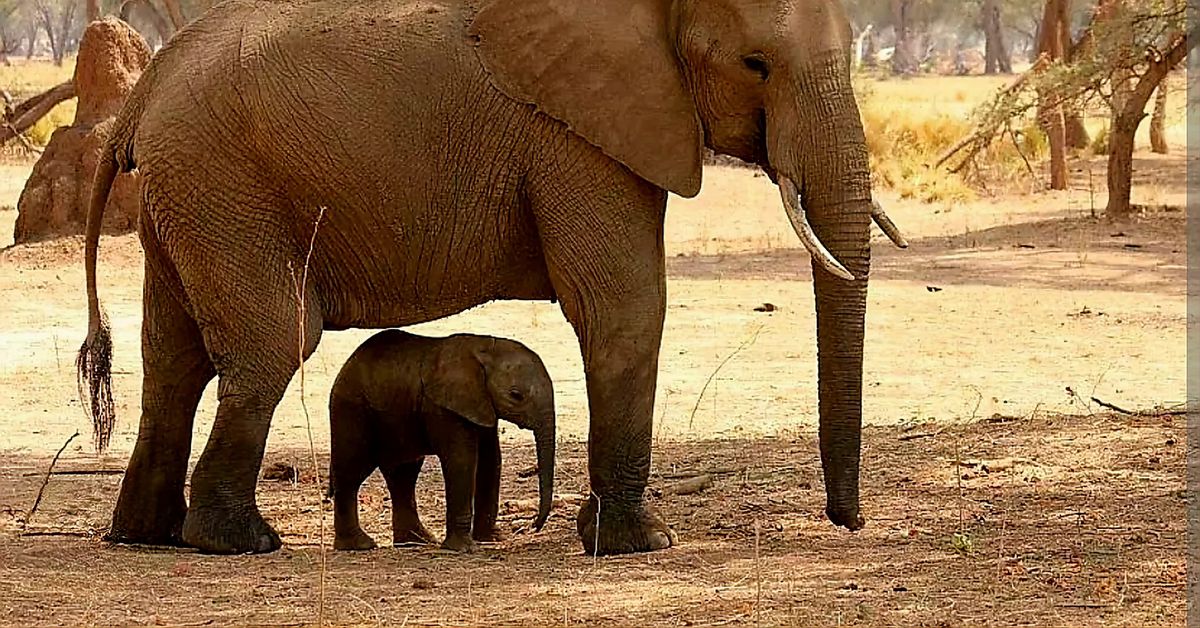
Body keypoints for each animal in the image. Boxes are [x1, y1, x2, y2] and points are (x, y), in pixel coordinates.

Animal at [326, 329, 555, 554]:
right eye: (516, 395)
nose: (533, 526)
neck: (485, 346)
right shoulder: (444, 407)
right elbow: (462, 460)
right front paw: (465, 549)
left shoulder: (481, 405)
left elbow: (491, 461)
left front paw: (491, 539)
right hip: (351, 409)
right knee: (352, 472)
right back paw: (359, 545)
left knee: (403, 475)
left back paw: (417, 542)